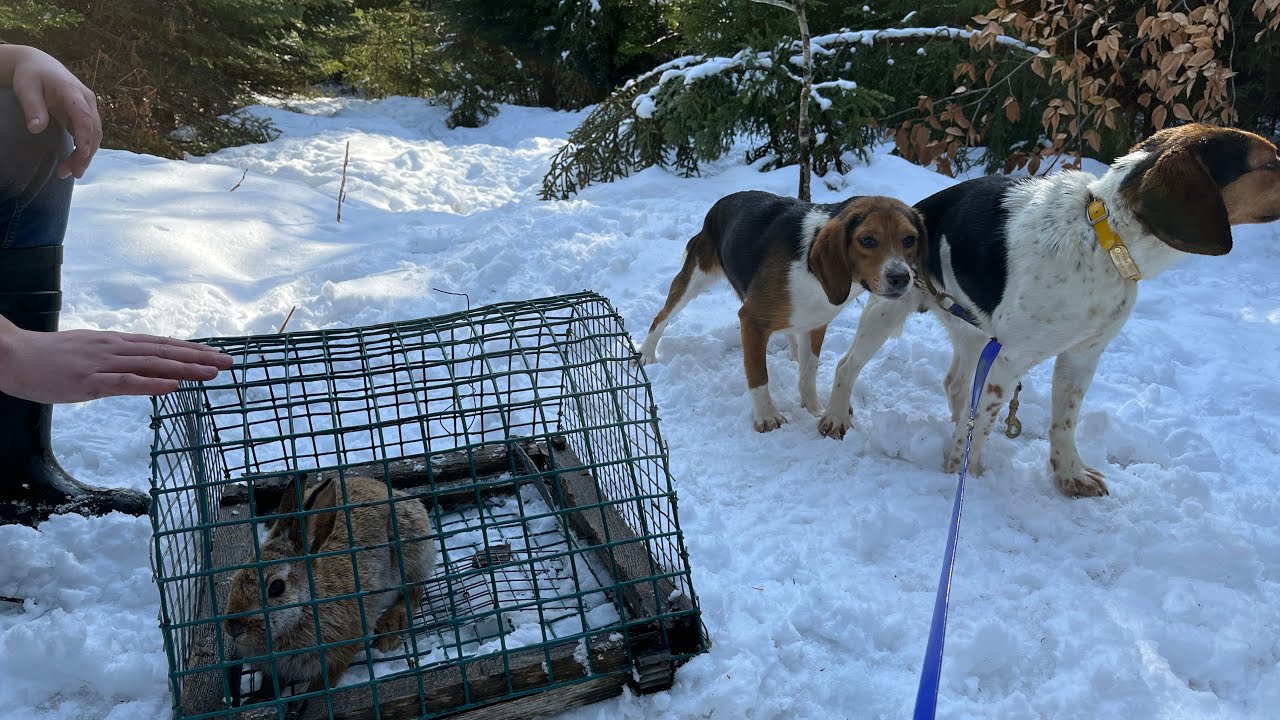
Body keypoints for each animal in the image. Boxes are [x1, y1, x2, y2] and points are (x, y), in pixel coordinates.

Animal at [222, 474, 435, 700]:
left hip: (410, 554)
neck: (305, 609)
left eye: (277, 587)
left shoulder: (343, 646)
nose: (232, 629)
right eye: (238, 576)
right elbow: (271, 683)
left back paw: (390, 628)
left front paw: (310, 698)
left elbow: (327, 678)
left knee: (413, 591)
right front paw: (259, 698)